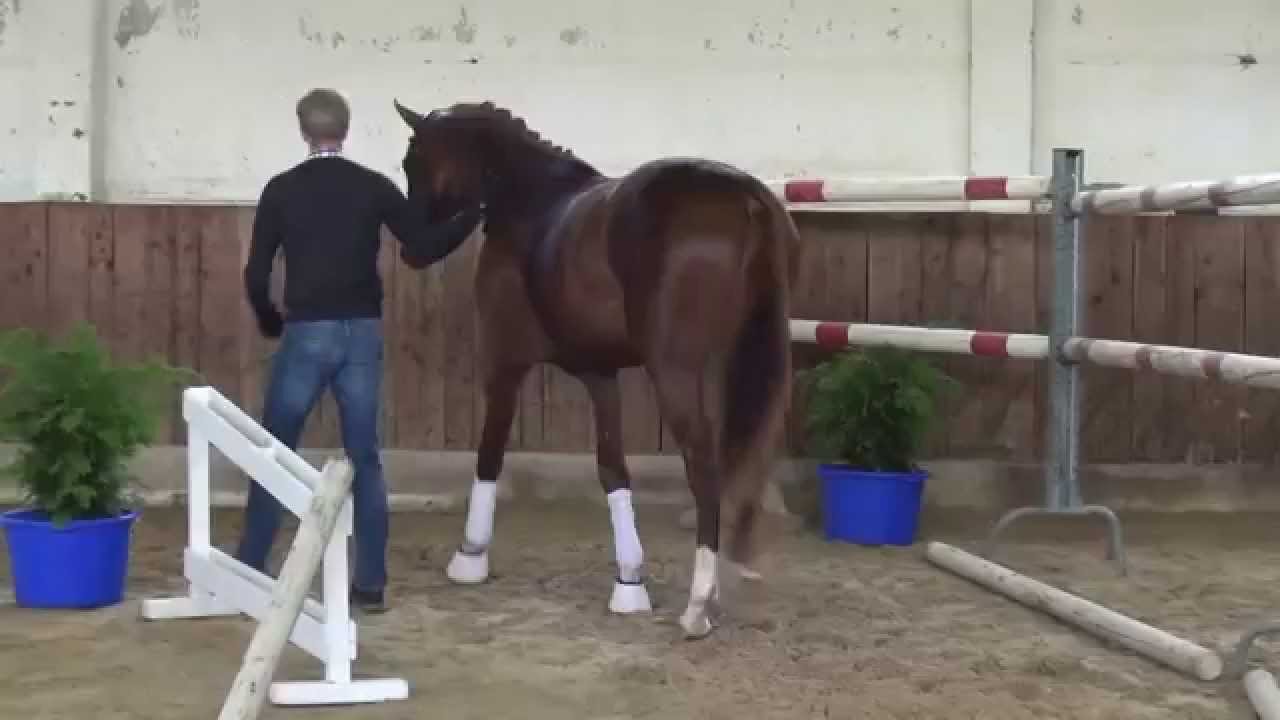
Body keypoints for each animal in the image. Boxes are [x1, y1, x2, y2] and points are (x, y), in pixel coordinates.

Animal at [392, 99, 800, 638]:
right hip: (741, 370)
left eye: (414, 163)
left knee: (705, 467)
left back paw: (697, 606)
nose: (411, 250)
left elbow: (489, 453)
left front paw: (470, 557)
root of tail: (748, 199)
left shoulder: (504, 360)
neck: (530, 201)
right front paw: (629, 584)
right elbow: (612, 469)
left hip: (678, 372)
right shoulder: (600, 374)